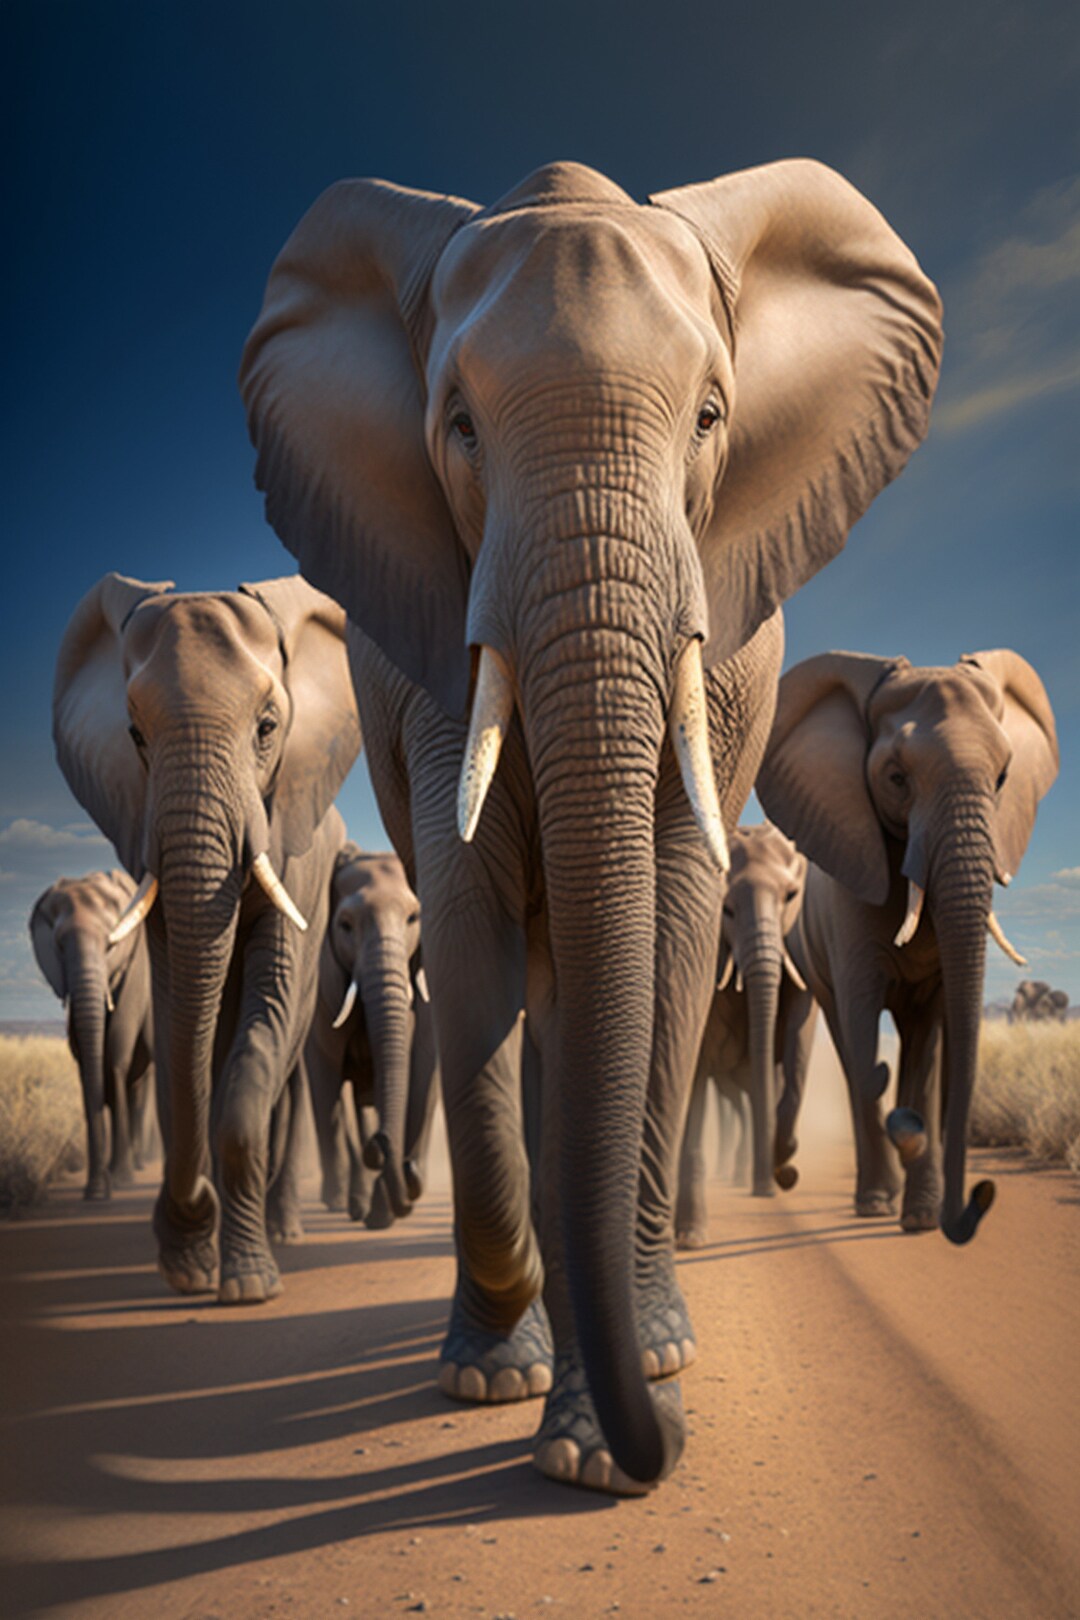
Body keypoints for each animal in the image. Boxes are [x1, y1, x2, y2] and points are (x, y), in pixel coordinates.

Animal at [30, 869, 156, 1199]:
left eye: (111, 946)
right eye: (60, 947)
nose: (99, 1190)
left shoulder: (138, 968)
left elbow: (116, 1052)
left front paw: (117, 1182)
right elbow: (87, 1061)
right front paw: (97, 1189)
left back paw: (133, 1168)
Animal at [52, 572, 362, 1302]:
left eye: (268, 728)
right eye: (134, 733)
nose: (190, 1209)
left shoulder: (296, 850)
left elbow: (269, 1009)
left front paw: (248, 1285)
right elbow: (178, 1037)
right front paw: (190, 1265)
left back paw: (279, 1233)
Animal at [306, 841, 439, 1227]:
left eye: (413, 919)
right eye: (345, 925)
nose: (377, 1149)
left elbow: (408, 1074)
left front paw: (382, 1215)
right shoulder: (324, 987)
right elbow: (328, 1085)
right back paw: (350, 1201)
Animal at [675, 823, 814, 1247]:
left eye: (791, 896)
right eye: (727, 910)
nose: (783, 1178)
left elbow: (799, 1041)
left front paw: (784, 1168)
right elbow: (699, 1065)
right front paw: (691, 1236)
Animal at [758, 648, 1059, 1242]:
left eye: (1003, 777)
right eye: (896, 778)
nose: (982, 1195)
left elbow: (933, 1040)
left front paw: (920, 1216)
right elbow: (861, 1017)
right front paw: (893, 1190)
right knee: (849, 1042)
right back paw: (876, 1196)